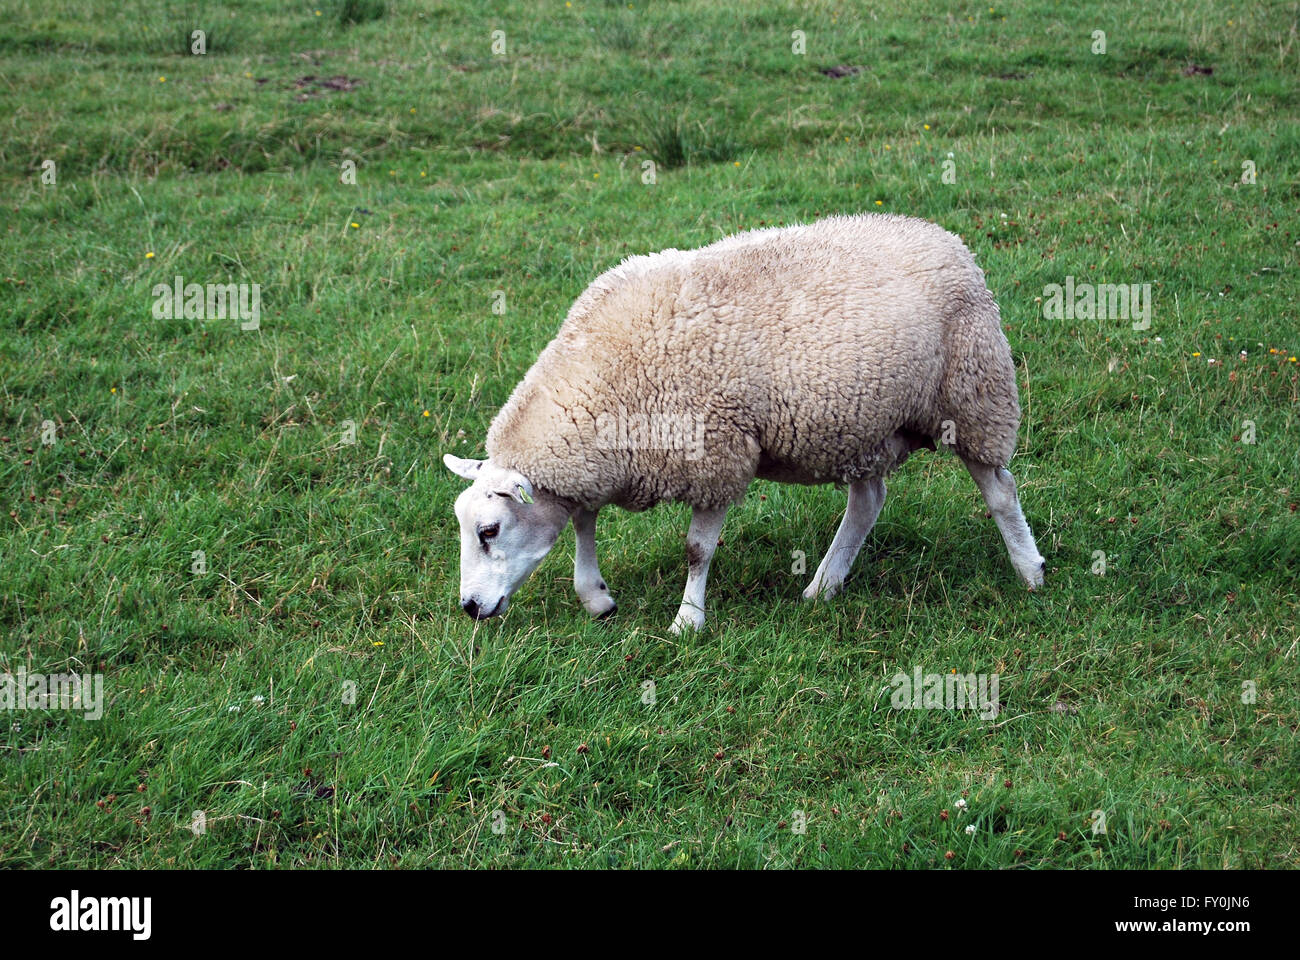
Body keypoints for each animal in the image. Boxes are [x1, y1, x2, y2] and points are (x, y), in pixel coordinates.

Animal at [444, 213, 1045, 633]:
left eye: (488, 530)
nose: (470, 607)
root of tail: (945, 238)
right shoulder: (606, 459)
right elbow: (582, 521)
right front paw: (596, 596)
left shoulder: (716, 453)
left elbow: (696, 549)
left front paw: (687, 620)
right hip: (862, 423)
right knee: (867, 501)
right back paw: (824, 585)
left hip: (973, 395)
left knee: (1000, 489)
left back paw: (1030, 571)